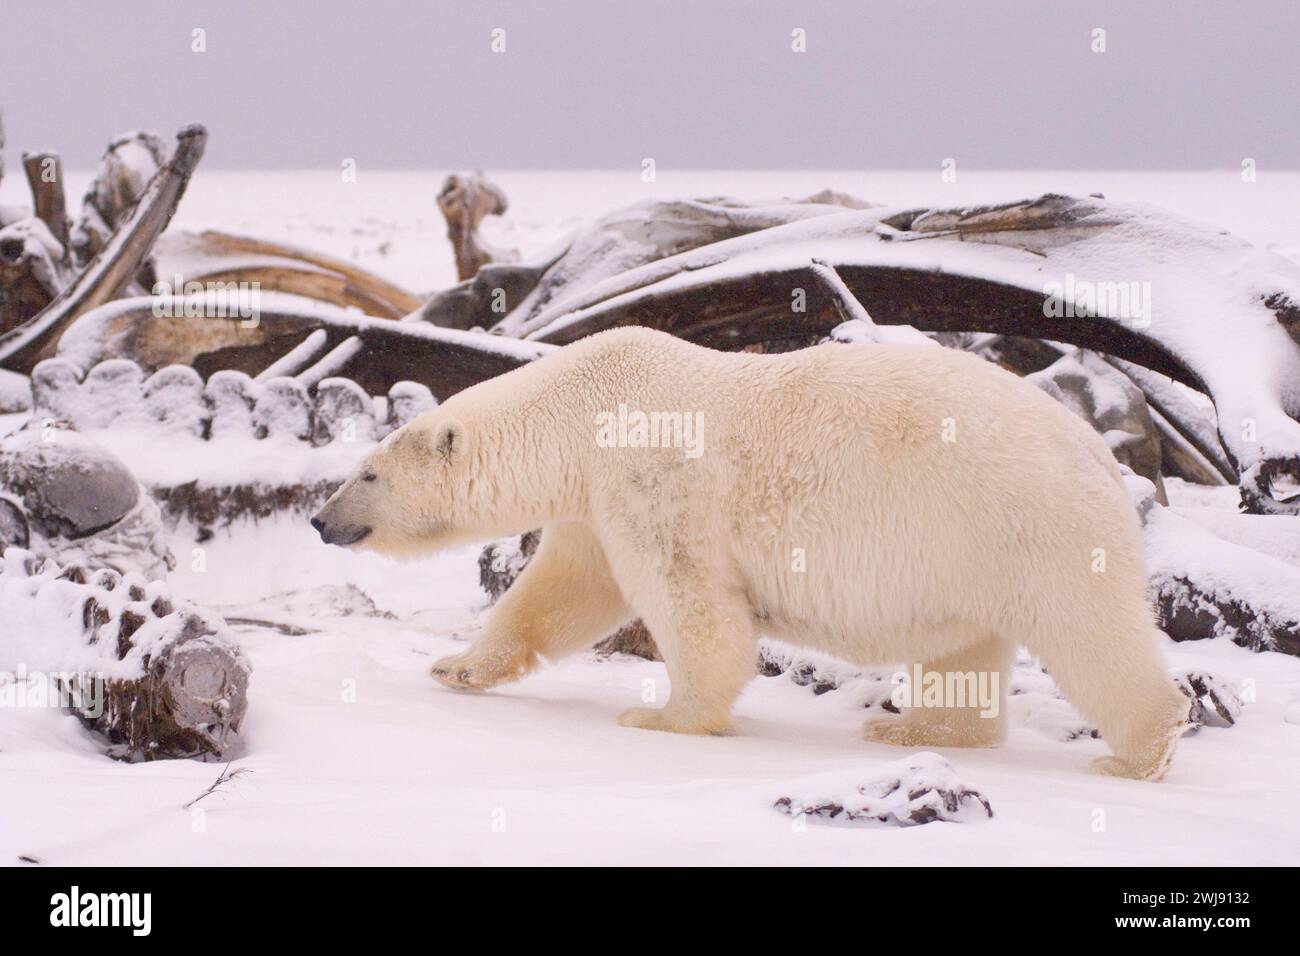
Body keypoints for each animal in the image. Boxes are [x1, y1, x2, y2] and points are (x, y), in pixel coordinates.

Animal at [312, 326, 1189, 780]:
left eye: (368, 473)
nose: (321, 521)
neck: (583, 407)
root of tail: (1101, 455)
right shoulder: (595, 501)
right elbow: (564, 589)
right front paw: (456, 668)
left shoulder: (652, 478)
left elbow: (689, 603)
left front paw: (663, 716)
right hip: (967, 553)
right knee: (962, 649)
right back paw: (912, 734)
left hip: (1031, 528)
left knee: (1090, 635)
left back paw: (1141, 753)